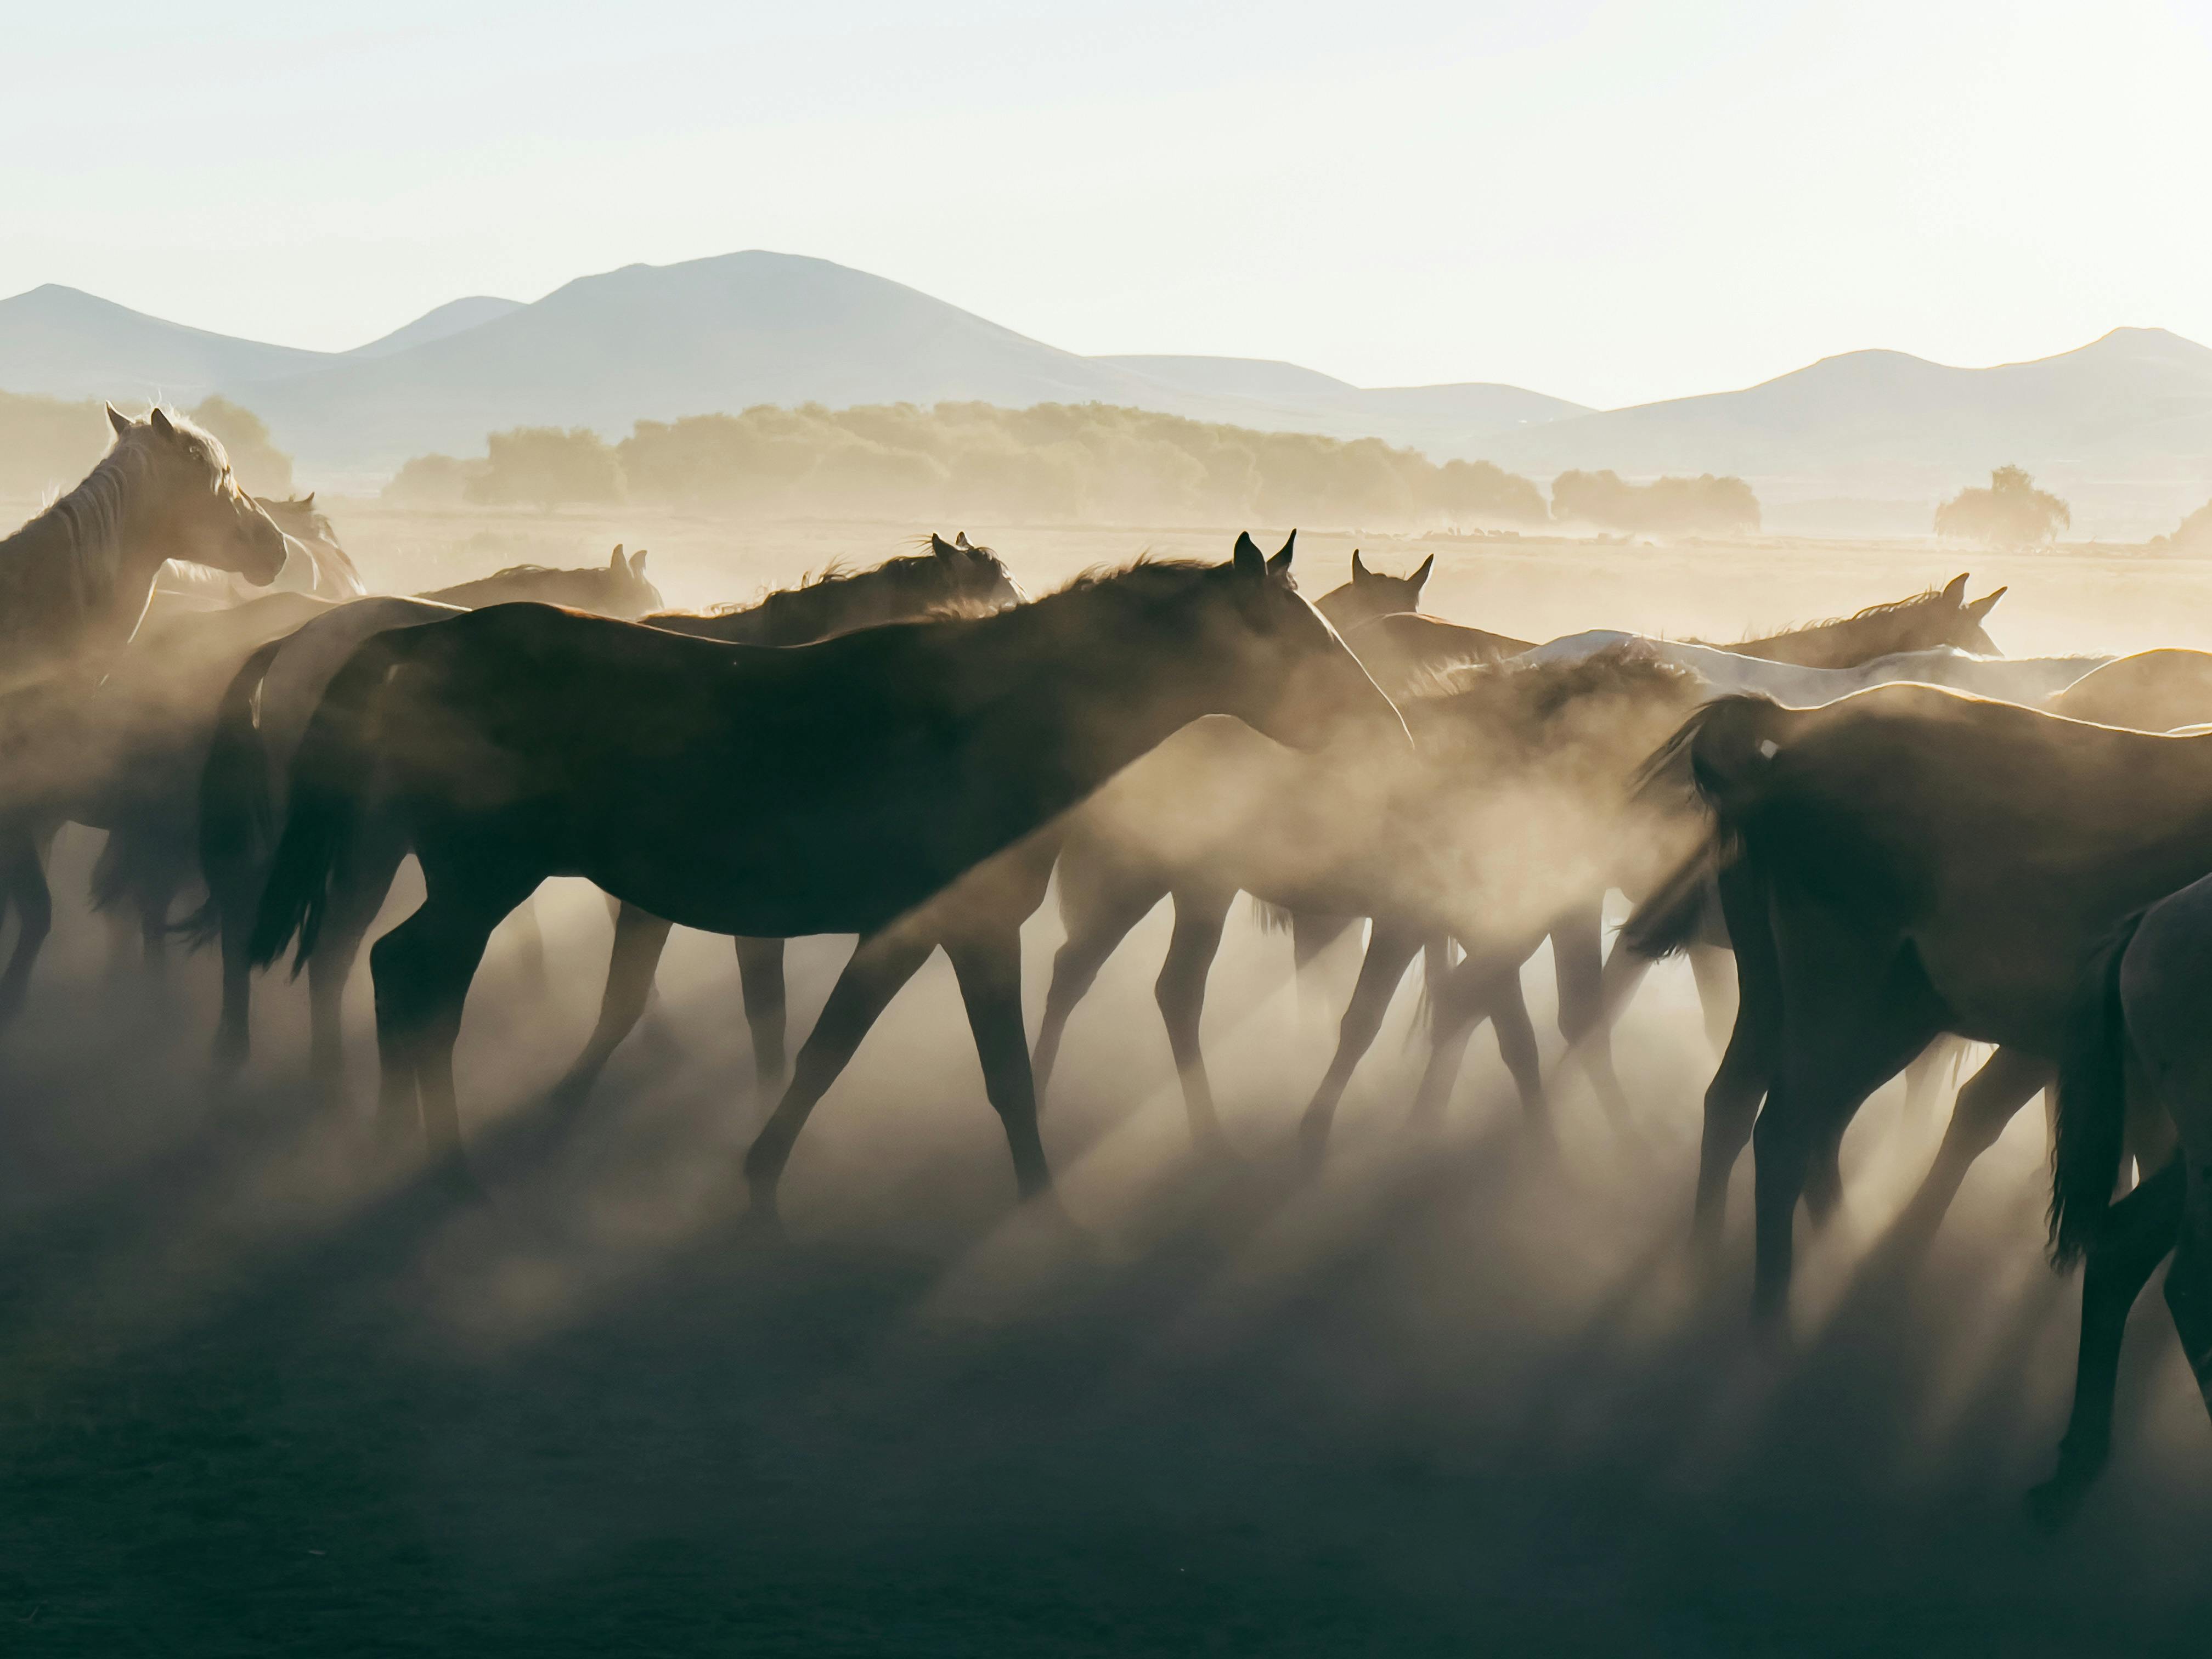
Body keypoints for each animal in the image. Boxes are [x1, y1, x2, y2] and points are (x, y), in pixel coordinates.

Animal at [247, 537, 1405, 1209]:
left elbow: (829, 1050)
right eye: (1294, 637)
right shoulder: (960, 927)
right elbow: (990, 1072)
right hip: (483, 877)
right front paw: (1045, 1211)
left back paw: (396, 1145)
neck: (988, 718)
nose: (1388, 727)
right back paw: (443, 1168)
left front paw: (760, 1173)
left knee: (399, 974)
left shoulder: (915, 931)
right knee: (415, 980)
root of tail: (420, 639)